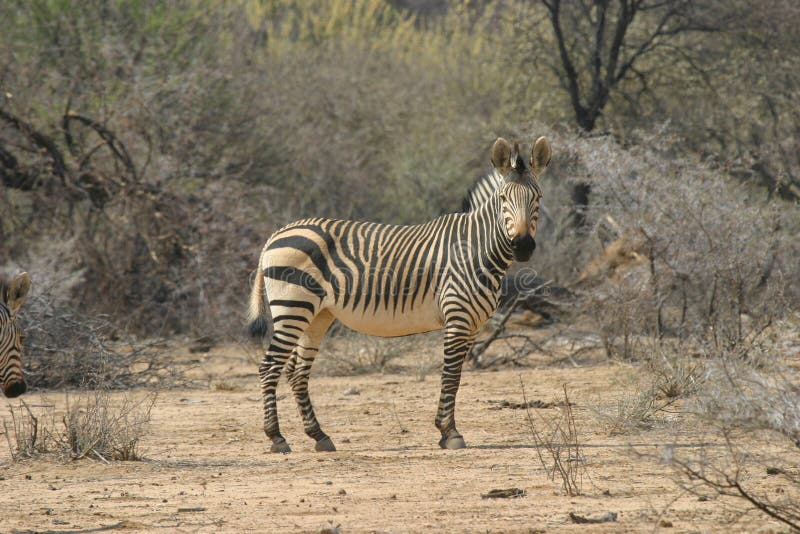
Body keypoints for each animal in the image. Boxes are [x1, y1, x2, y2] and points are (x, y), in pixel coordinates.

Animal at [248, 136, 551, 452]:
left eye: (538, 198)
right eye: (503, 199)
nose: (522, 246)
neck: (475, 249)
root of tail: (277, 234)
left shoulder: (471, 325)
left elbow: (455, 376)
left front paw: (445, 430)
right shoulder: (457, 319)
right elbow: (451, 375)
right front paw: (450, 433)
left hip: (317, 315)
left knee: (297, 372)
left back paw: (319, 436)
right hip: (292, 307)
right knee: (269, 367)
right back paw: (277, 438)